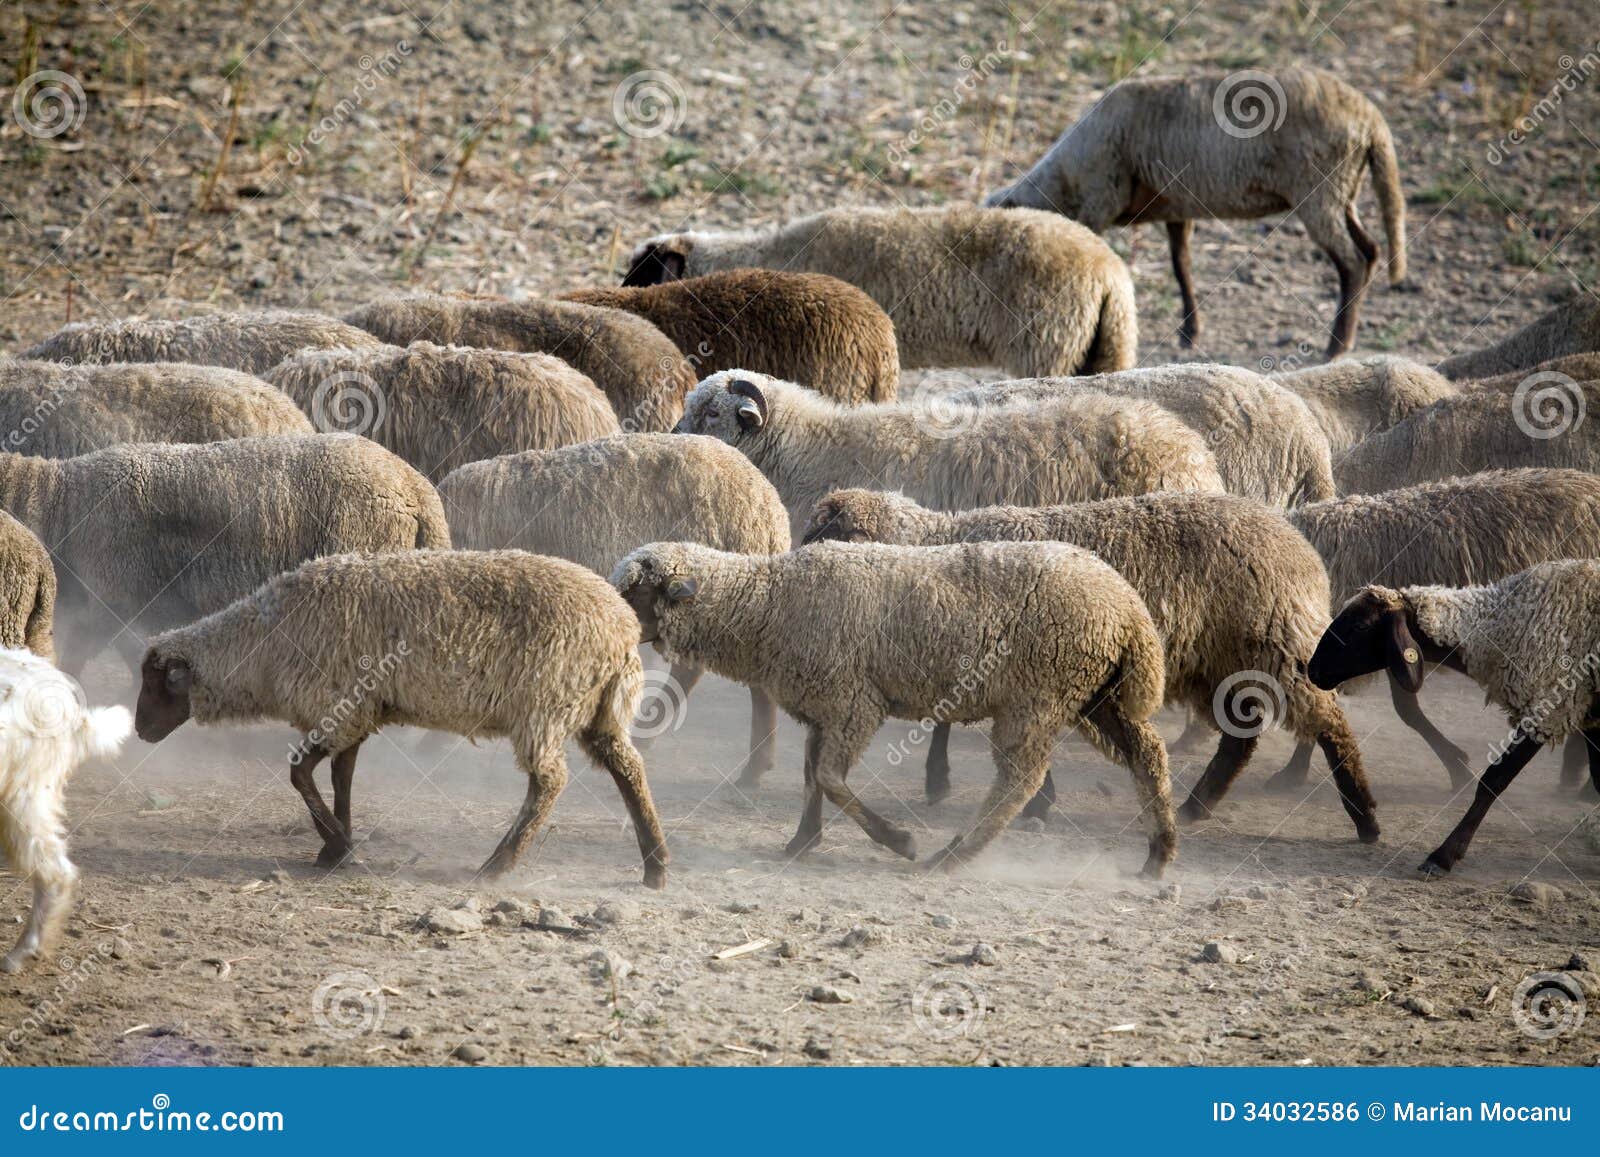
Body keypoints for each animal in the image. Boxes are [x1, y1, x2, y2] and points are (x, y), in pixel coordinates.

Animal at [135, 549, 668, 885]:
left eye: (158, 682)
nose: (139, 731)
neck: (260, 647)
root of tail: (623, 627)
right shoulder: (354, 712)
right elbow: (341, 776)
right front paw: (336, 846)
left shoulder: (337, 705)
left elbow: (300, 773)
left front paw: (339, 845)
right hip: (599, 709)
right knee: (628, 768)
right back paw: (656, 866)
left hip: (546, 704)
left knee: (549, 782)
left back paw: (497, 866)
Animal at [612, 539, 1177, 876]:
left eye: (634, 591)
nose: (606, 615)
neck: (767, 604)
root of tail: (1129, 609)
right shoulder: (825, 707)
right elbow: (812, 777)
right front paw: (802, 841)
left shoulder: (854, 703)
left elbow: (830, 779)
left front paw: (897, 840)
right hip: (1096, 696)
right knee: (1147, 755)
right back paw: (1159, 852)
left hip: (1039, 695)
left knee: (1020, 779)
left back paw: (953, 854)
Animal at [801, 488, 1380, 841]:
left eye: (823, 537)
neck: (929, 550)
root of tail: (1301, 548)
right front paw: (1023, 798)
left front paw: (1006, 796)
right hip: (1221, 661)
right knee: (1243, 735)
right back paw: (1196, 806)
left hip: (1275, 643)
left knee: (1329, 722)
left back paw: (1365, 817)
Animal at [985, 66, 1404, 357]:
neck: (1064, 182)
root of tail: (1370, 118)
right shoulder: (1177, 205)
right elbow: (1181, 266)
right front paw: (1190, 332)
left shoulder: (1100, 199)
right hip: (1343, 191)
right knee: (1369, 250)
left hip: (1319, 189)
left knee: (1351, 261)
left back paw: (1336, 346)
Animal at [1308, 560, 1600, 874]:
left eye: (1360, 626)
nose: (1311, 669)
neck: (1504, 625)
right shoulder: (1590, 717)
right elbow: (1599, 781)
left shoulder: (1549, 707)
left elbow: (1493, 780)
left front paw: (1443, 856)